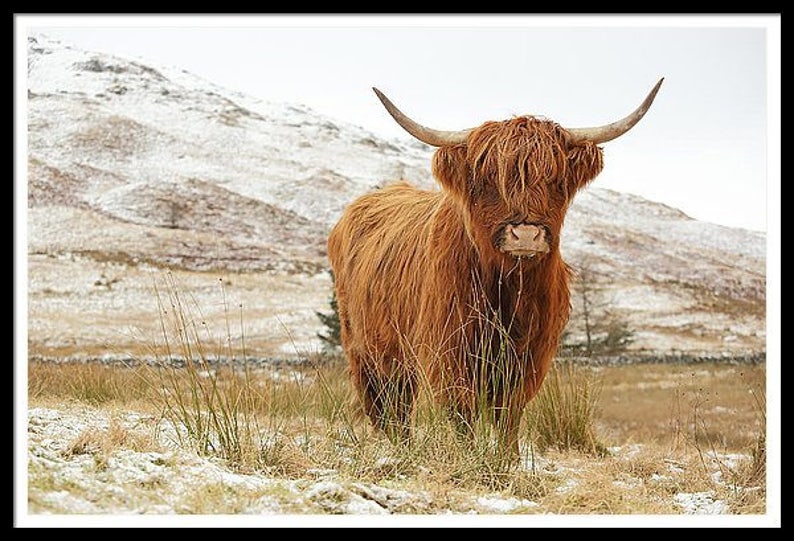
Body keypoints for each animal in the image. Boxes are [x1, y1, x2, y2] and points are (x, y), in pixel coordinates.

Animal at [327, 79, 663, 455]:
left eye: (555, 180)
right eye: (489, 181)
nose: (526, 234)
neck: (508, 289)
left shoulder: (529, 356)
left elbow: (509, 414)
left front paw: (508, 459)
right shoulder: (452, 350)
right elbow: (462, 412)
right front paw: (470, 458)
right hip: (365, 350)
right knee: (387, 408)